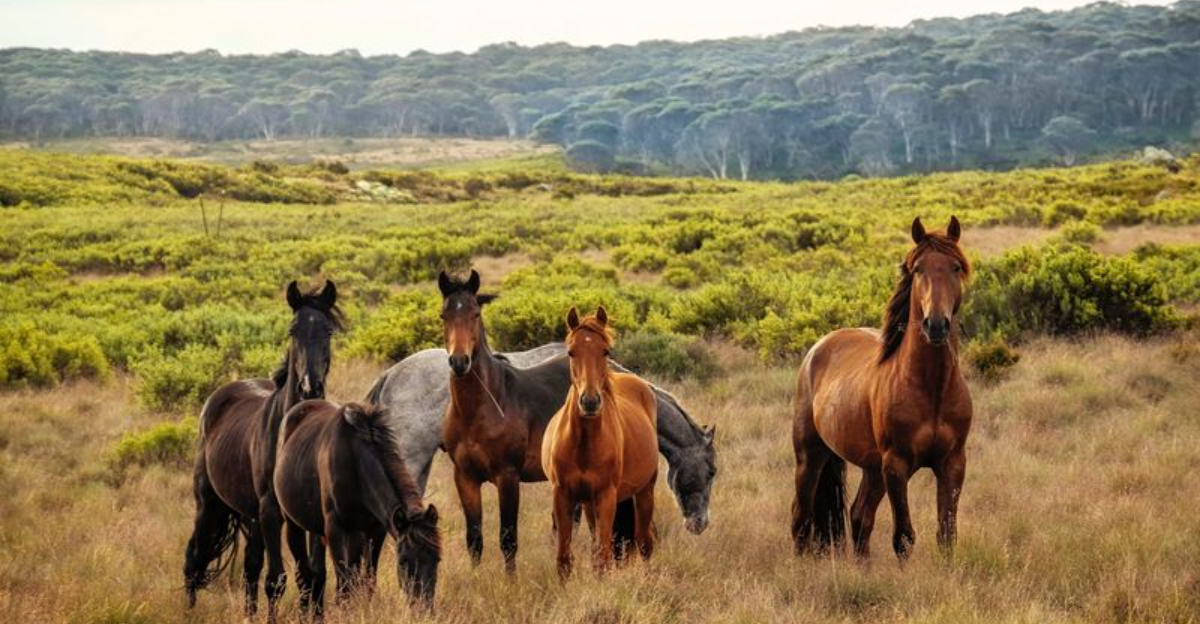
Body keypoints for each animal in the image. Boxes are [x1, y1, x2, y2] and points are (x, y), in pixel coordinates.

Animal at [183, 280, 340, 620]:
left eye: (328, 330)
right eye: (293, 330)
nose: (310, 386)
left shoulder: (308, 515)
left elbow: (314, 576)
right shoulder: (271, 511)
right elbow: (277, 579)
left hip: (250, 515)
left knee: (250, 567)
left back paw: (249, 614)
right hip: (210, 504)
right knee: (194, 557)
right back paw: (188, 611)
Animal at [274, 400, 441, 612]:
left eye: (437, 559)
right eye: (403, 562)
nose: (423, 608)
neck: (355, 463)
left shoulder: (375, 530)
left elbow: (367, 580)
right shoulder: (335, 529)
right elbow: (344, 584)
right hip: (293, 525)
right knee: (304, 576)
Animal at [439, 269, 575, 573]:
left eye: (476, 313)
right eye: (443, 315)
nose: (459, 362)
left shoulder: (508, 476)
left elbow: (508, 538)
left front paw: (510, 582)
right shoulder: (464, 477)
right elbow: (474, 539)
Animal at [543, 307, 658, 578]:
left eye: (605, 351)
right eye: (571, 352)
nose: (590, 402)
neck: (584, 445)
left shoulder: (606, 497)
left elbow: (602, 558)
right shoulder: (563, 495)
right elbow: (564, 559)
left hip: (645, 491)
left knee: (644, 542)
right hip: (588, 503)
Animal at [791, 216, 972, 561]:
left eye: (955, 267)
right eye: (918, 269)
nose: (936, 325)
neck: (931, 389)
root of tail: (818, 348)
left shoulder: (952, 464)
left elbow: (947, 535)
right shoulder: (896, 466)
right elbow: (904, 537)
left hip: (871, 468)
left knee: (859, 517)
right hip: (811, 455)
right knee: (801, 517)